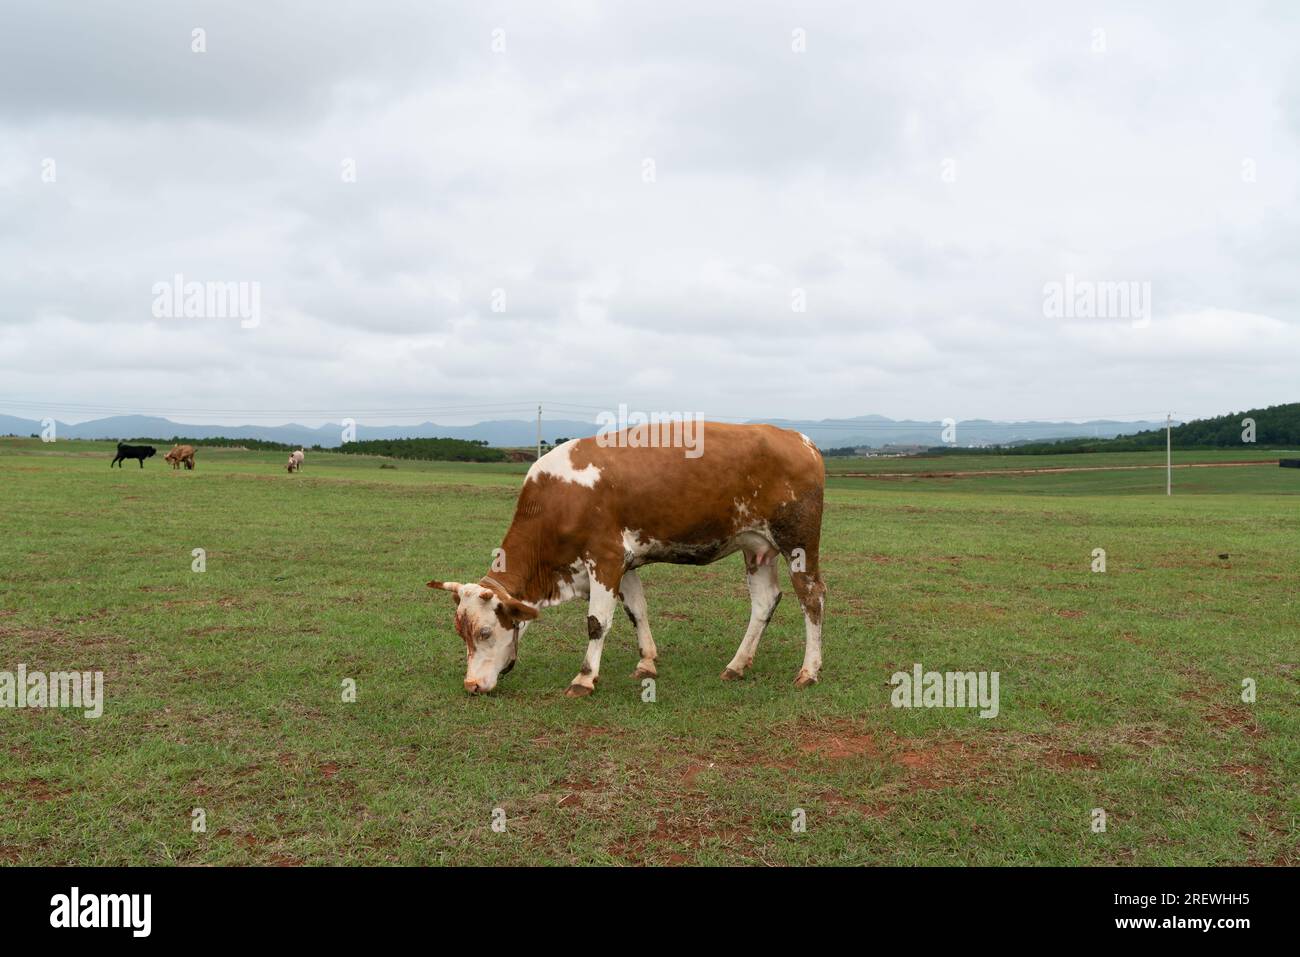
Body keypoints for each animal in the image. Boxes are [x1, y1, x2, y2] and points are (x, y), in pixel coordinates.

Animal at [428, 422, 826, 696]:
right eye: (460, 631)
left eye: (485, 631)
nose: (471, 685)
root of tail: (799, 439)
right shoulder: (624, 562)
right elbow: (637, 610)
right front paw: (647, 662)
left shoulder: (605, 557)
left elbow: (596, 622)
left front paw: (585, 678)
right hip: (756, 547)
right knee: (764, 601)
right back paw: (737, 665)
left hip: (798, 543)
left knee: (812, 597)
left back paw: (809, 671)